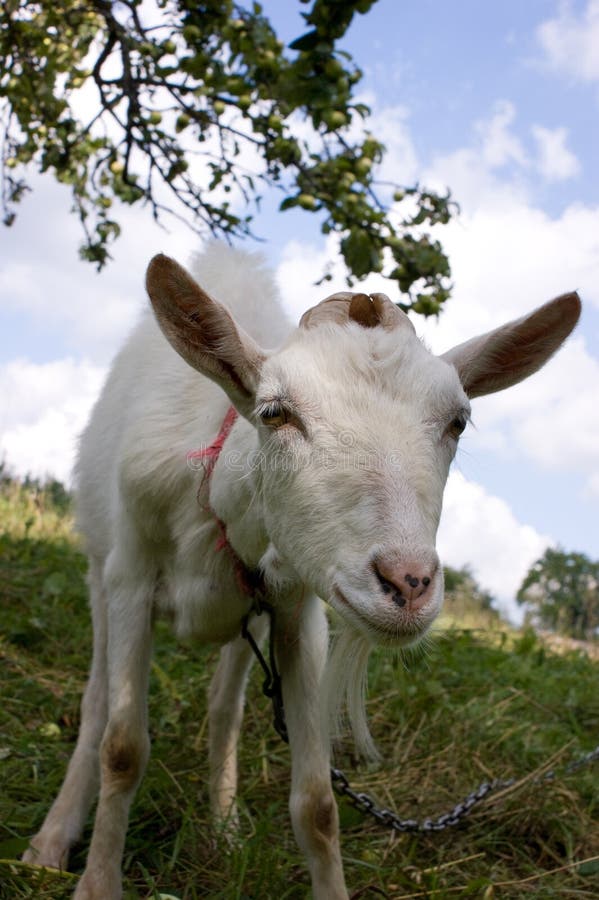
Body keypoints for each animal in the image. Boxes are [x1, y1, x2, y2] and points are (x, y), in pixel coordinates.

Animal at [23, 243, 581, 899]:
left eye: (458, 422)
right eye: (275, 412)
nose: (409, 584)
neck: (219, 498)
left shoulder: (297, 612)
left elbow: (316, 803)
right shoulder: (130, 577)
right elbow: (122, 747)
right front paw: (97, 882)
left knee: (224, 706)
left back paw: (224, 829)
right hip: (98, 569)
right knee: (95, 705)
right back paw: (51, 841)